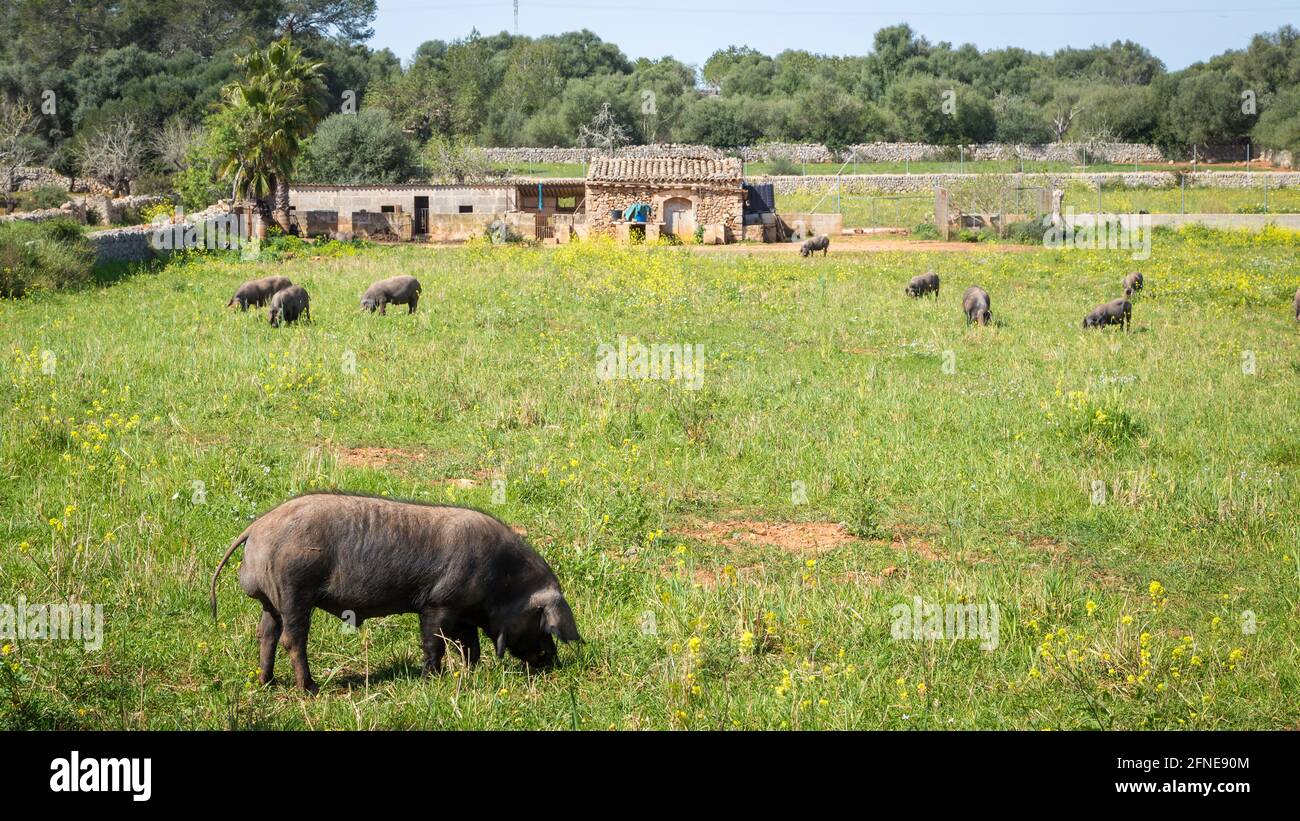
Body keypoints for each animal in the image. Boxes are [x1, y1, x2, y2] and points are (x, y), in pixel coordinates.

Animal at [210, 492, 581, 693]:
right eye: (541, 620)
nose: (551, 662)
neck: (502, 580)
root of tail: (256, 527)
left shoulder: (463, 611)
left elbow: (469, 645)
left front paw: (469, 673)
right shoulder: (439, 603)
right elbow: (435, 643)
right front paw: (432, 678)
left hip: (271, 601)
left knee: (266, 634)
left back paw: (267, 682)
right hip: (294, 590)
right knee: (292, 639)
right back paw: (311, 689)